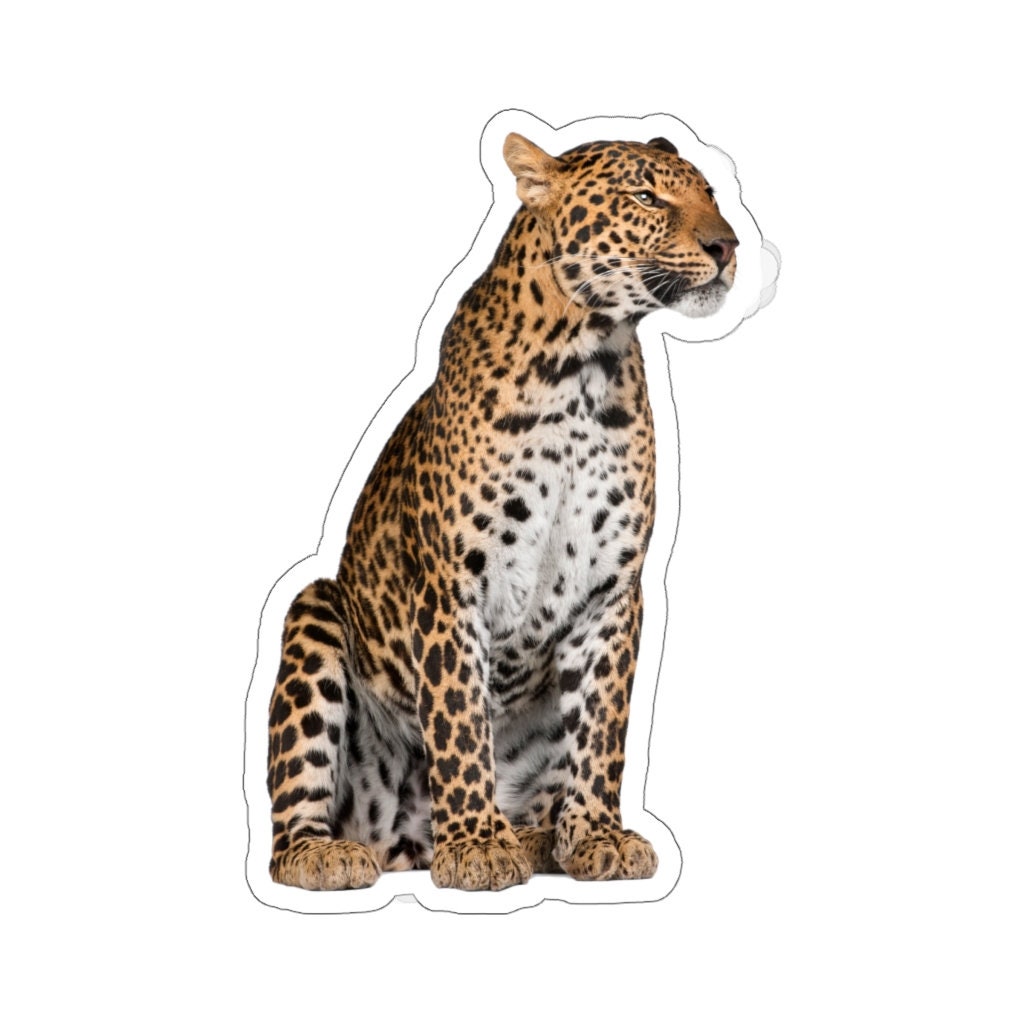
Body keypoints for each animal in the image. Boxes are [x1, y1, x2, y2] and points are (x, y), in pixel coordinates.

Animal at [266, 132, 738, 891]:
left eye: (711, 195)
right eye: (646, 196)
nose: (728, 244)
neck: (584, 366)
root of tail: (403, 841)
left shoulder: (612, 590)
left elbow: (602, 727)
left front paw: (598, 835)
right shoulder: (451, 584)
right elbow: (459, 716)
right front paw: (478, 847)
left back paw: (541, 838)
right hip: (314, 613)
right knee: (289, 827)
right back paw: (333, 854)